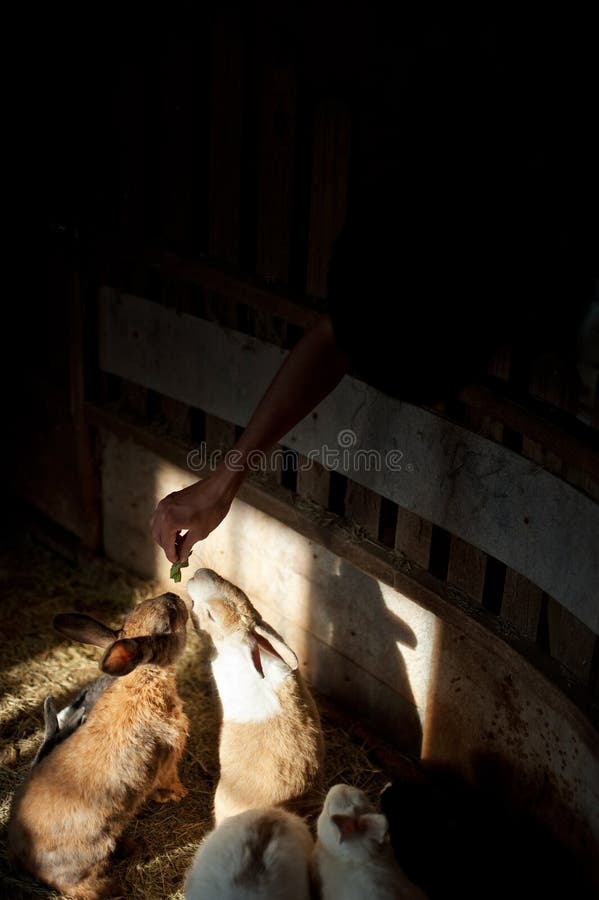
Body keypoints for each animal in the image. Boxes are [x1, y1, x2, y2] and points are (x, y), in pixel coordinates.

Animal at [7, 591, 190, 900]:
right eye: (166, 626)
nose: (174, 596)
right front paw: (177, 794)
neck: (144, 678)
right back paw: (117, 882)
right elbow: (168, 779)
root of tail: (26, 860)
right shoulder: (168, 757)